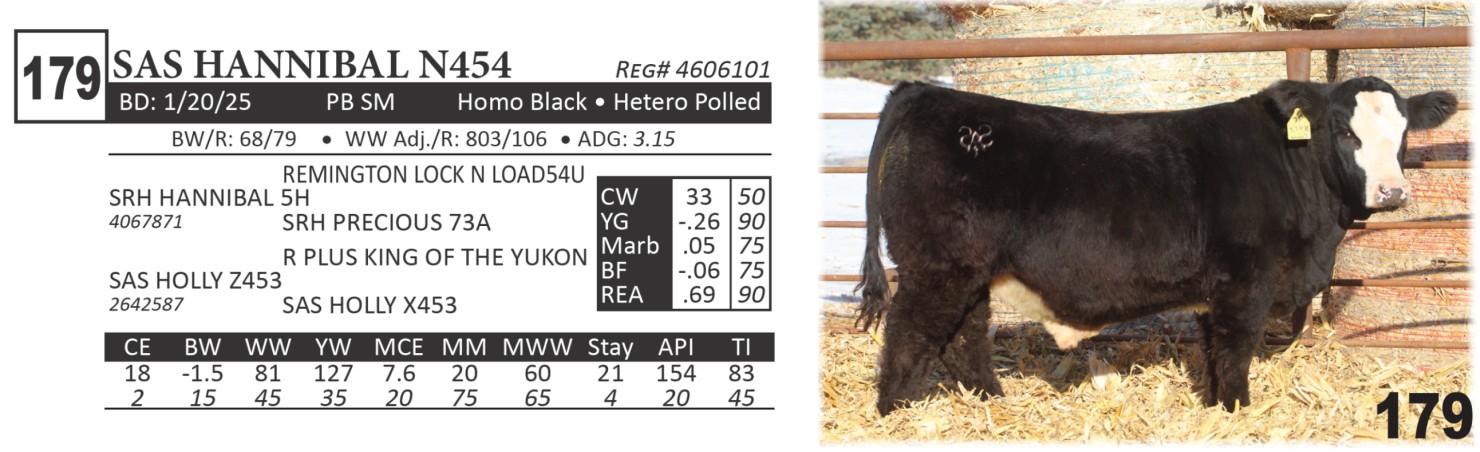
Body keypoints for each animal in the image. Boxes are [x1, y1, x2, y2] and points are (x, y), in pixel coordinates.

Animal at [855, 77, 1457, 416]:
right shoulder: (1246, 277)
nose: (1392, 191)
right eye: (1345, 133)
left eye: (1403, 134)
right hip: (938, 267)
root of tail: (925, 92)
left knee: (963, 338)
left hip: (970, 270)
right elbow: (1237, 347)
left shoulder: (1218, 287)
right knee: (909, 334)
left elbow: (1213, 349)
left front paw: (1215, 407)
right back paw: (894, 414)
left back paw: (993, 403)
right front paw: (1238, 410)